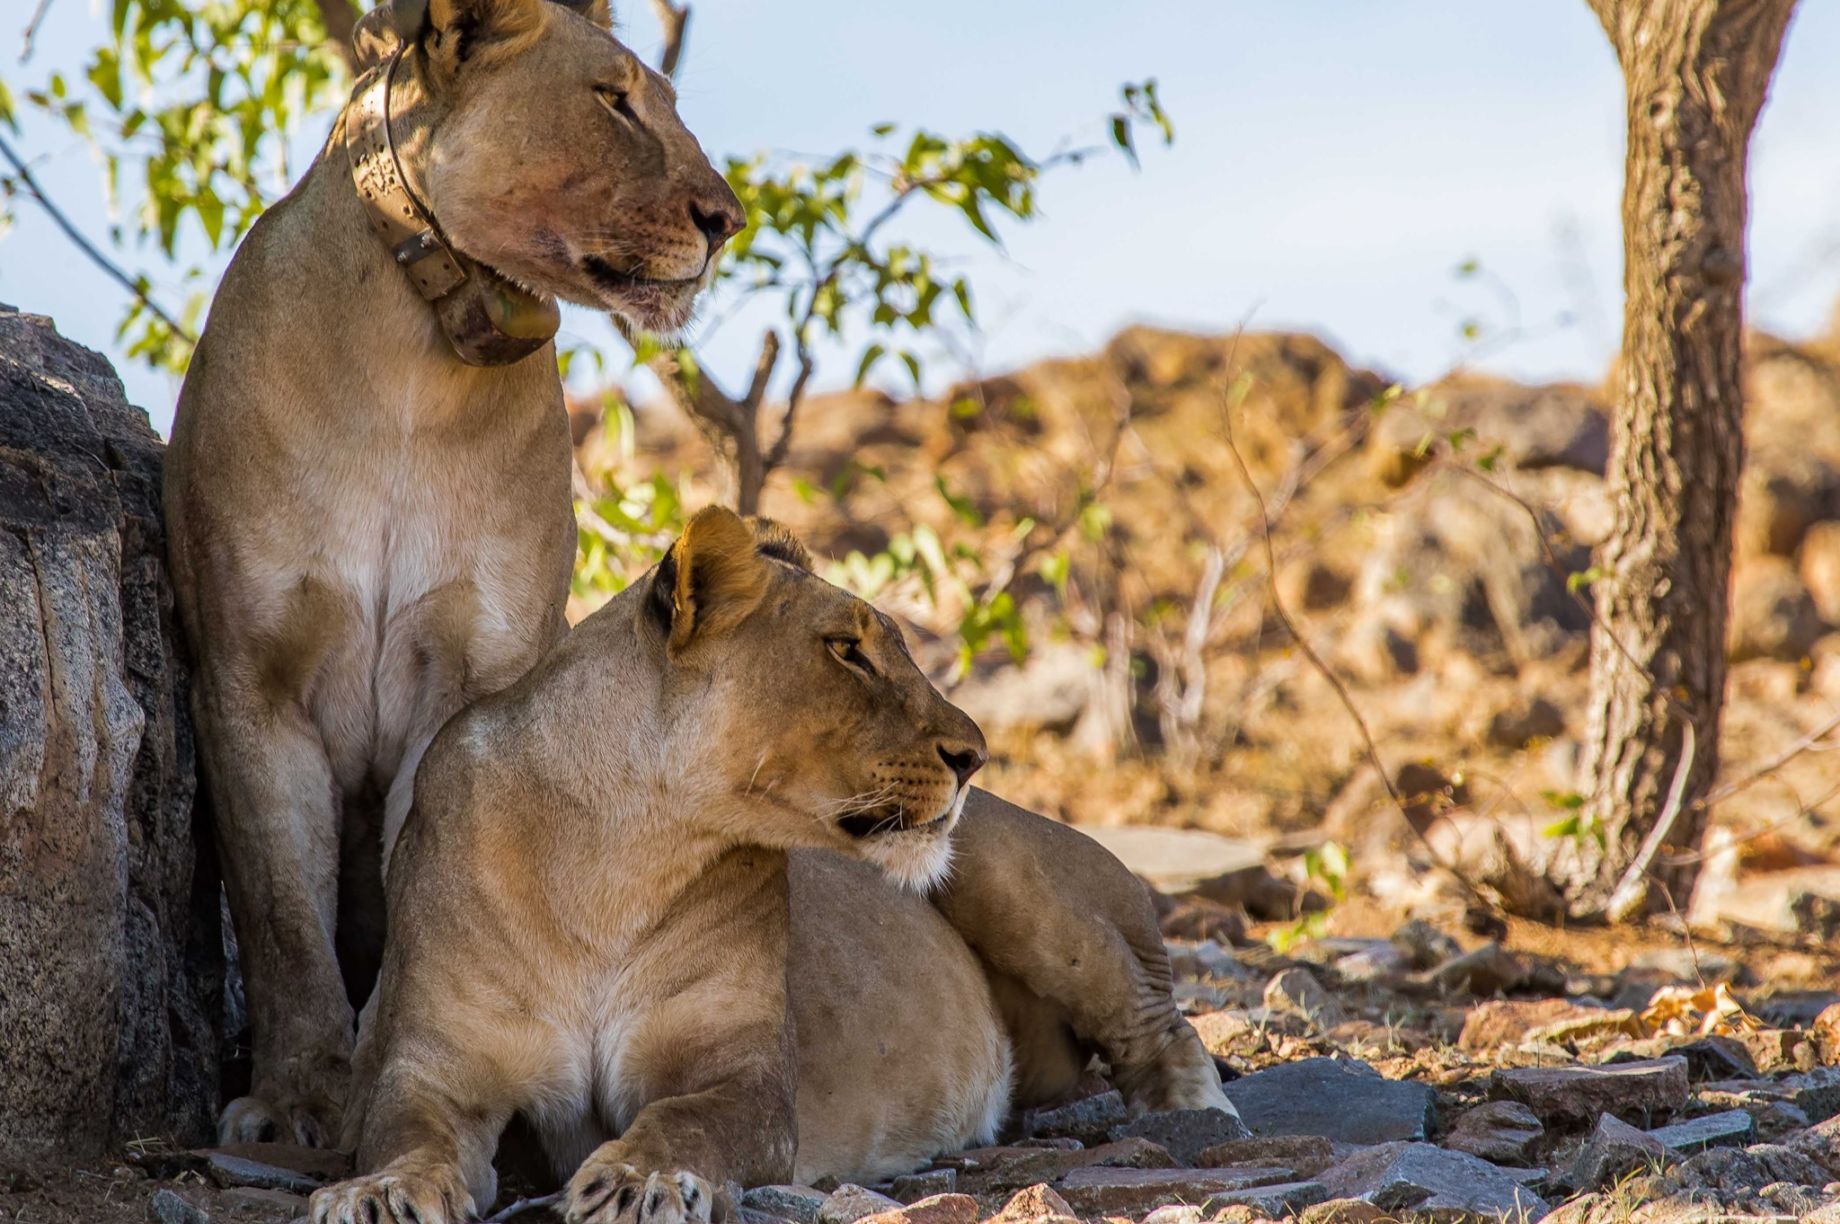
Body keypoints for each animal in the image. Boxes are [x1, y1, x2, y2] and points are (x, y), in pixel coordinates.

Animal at [309, 509, 1237, 1224]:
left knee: (1156, 1017)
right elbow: (404, 1133)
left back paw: (1200, 1114)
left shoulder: (745, 1076)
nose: (974, 756)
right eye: (847, 651)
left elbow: (685, 1120)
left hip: (1007, 875)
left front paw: (639, 1182)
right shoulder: (434, 1068)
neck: (620, 855)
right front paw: (378, 1193)